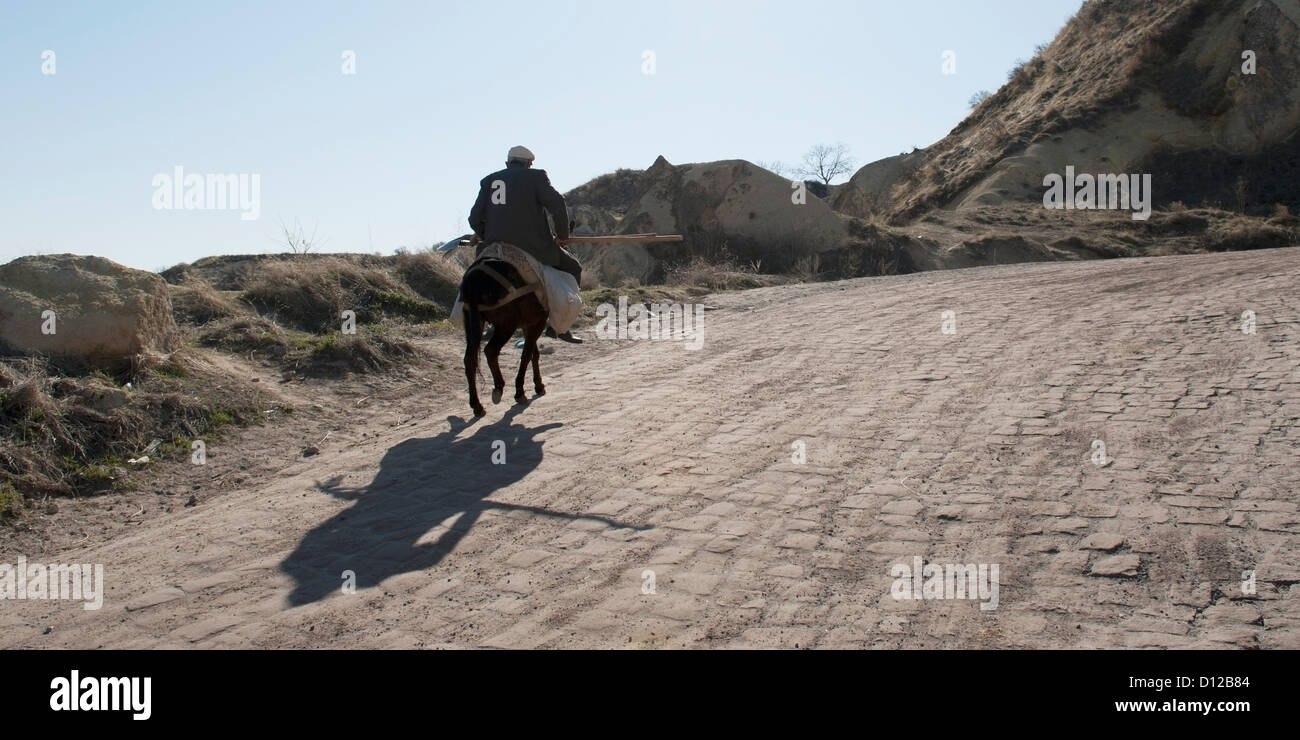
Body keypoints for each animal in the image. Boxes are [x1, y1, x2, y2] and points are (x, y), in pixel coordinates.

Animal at [460, 256, 548, 417]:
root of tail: (474, 277)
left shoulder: (529, 325)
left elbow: (534, 353)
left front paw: (538, 385)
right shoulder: (538, 322)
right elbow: (527, 354)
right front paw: (520, 391)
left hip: (472, 320)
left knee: (469, 358)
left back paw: (477, 405)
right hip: (507, 324)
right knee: (490, 350)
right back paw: (499, 387)